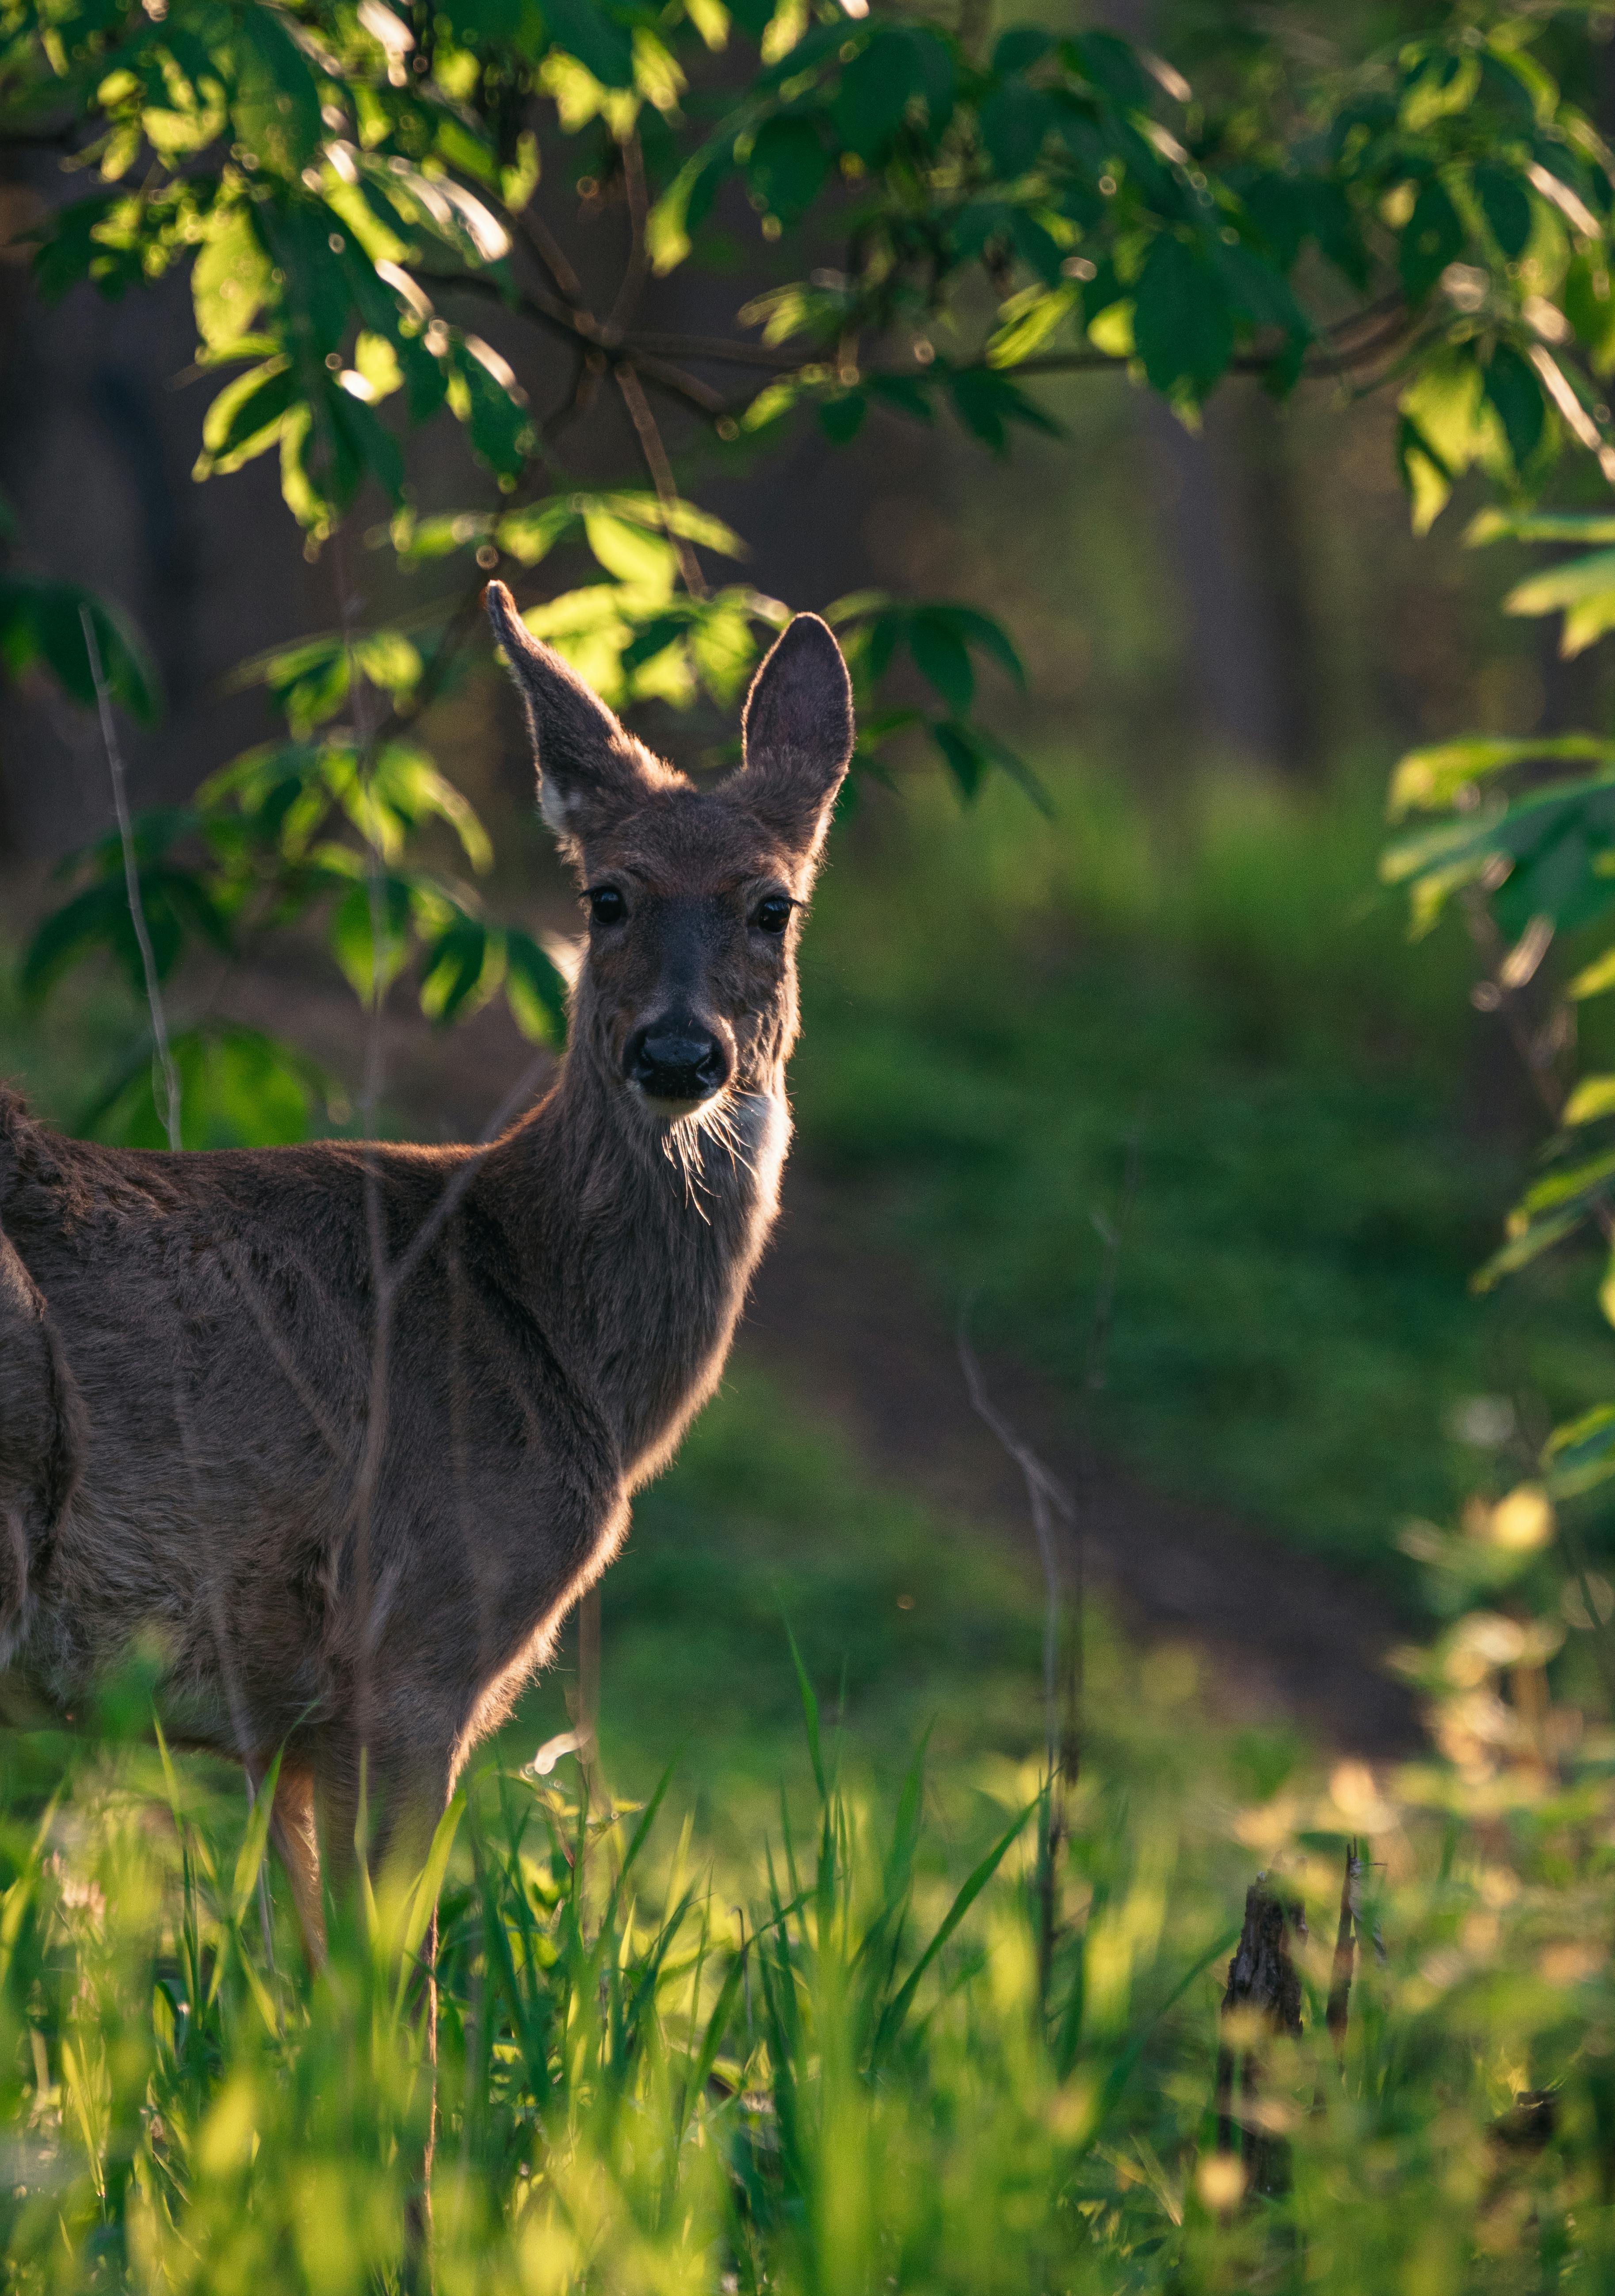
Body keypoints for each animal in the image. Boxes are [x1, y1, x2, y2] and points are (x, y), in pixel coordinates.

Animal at [0, 582, 854, 1951]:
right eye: (604, 896)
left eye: (772, 904)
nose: (678, 1053)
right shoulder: (416, 1638)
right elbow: (393, 1974)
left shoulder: (284, 1728)